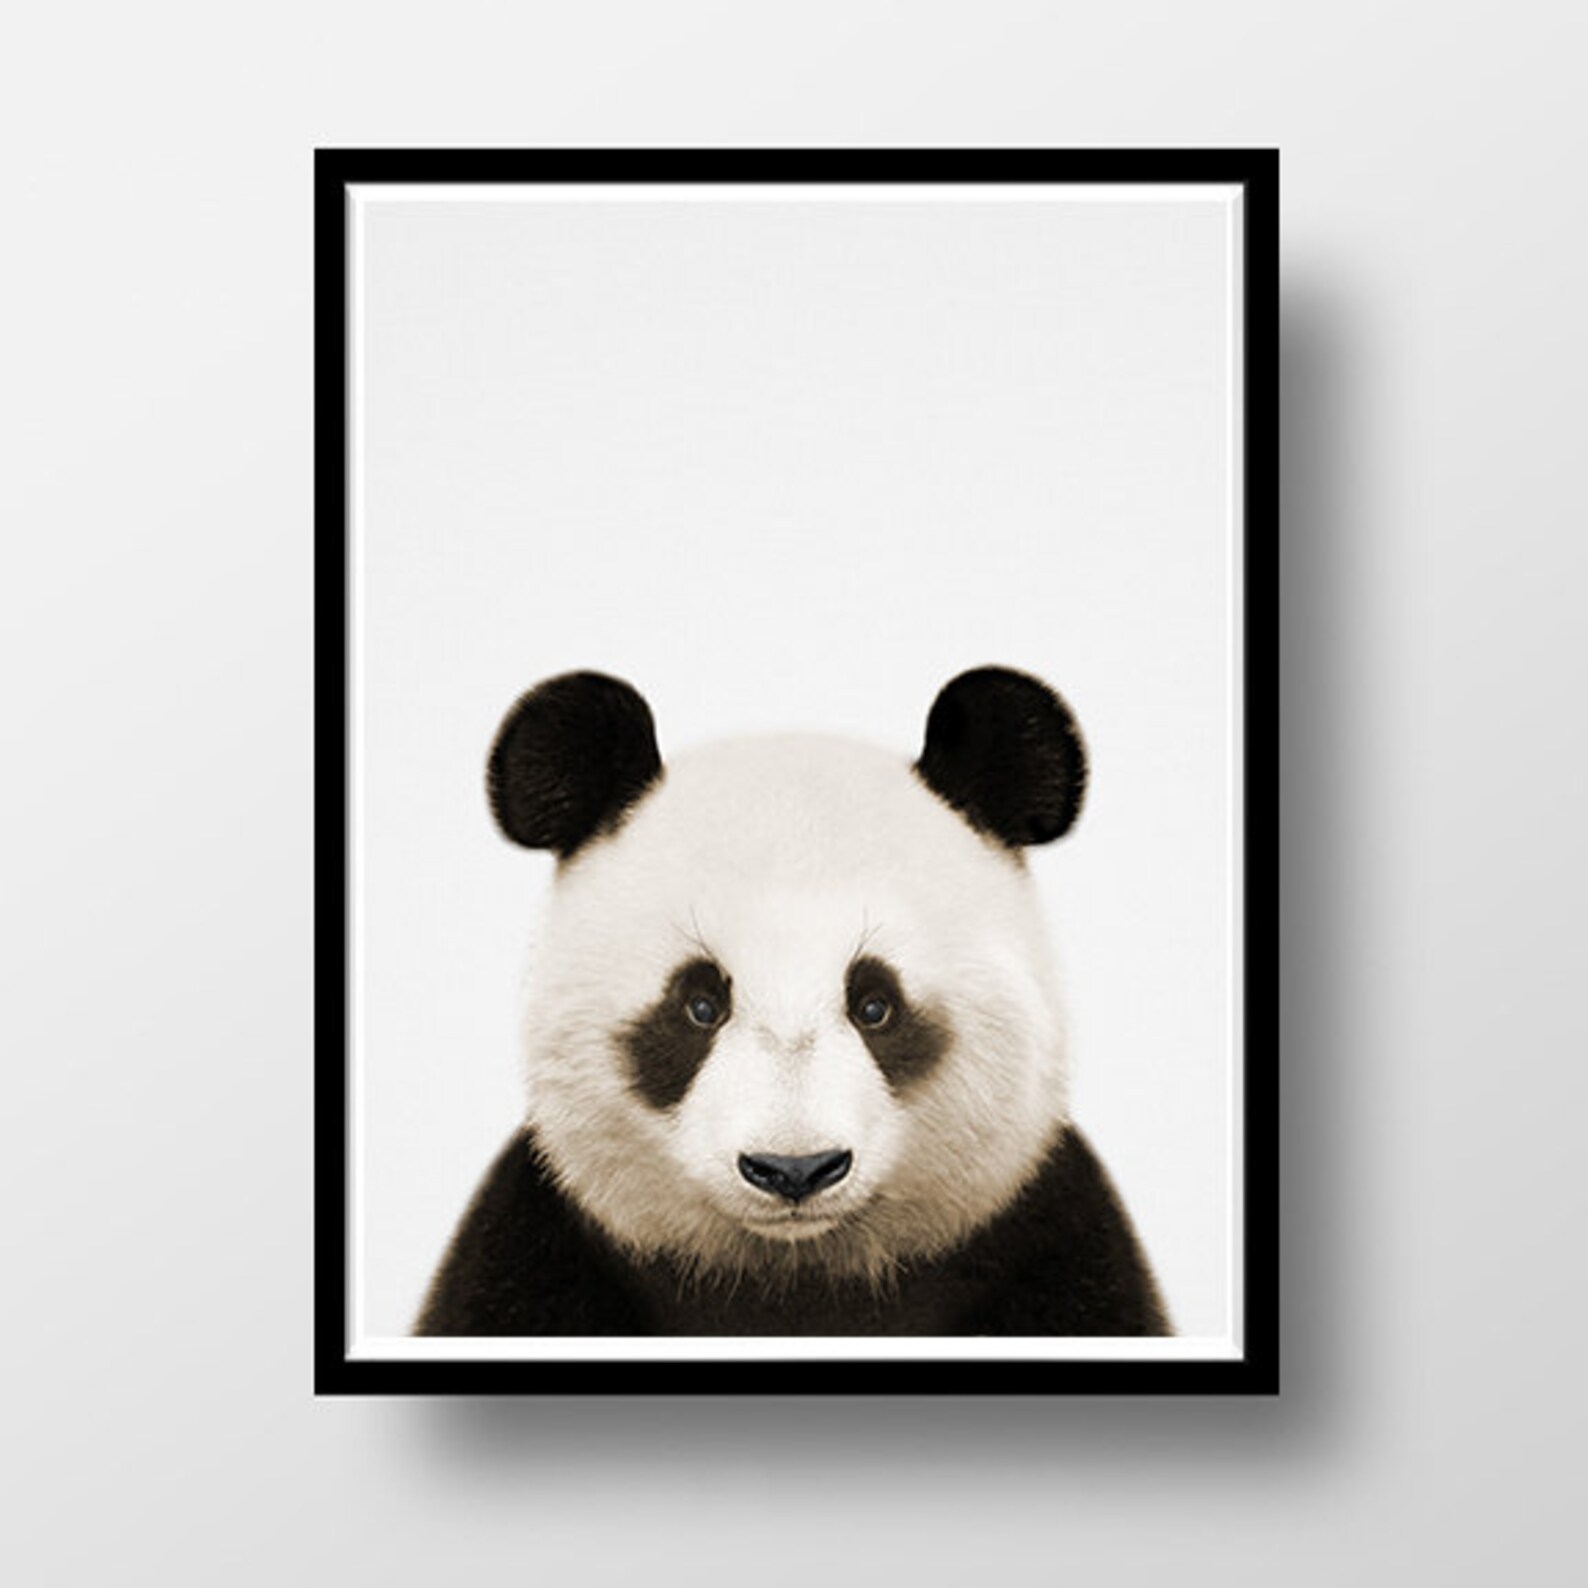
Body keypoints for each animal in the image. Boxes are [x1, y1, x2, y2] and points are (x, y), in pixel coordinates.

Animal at [416, 667, 1168, 1336]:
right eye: (699, 1005)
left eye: (875, 1005)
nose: (794, 1169)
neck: (794, 1278)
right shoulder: (536, 1253)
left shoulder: (1050, 1247)